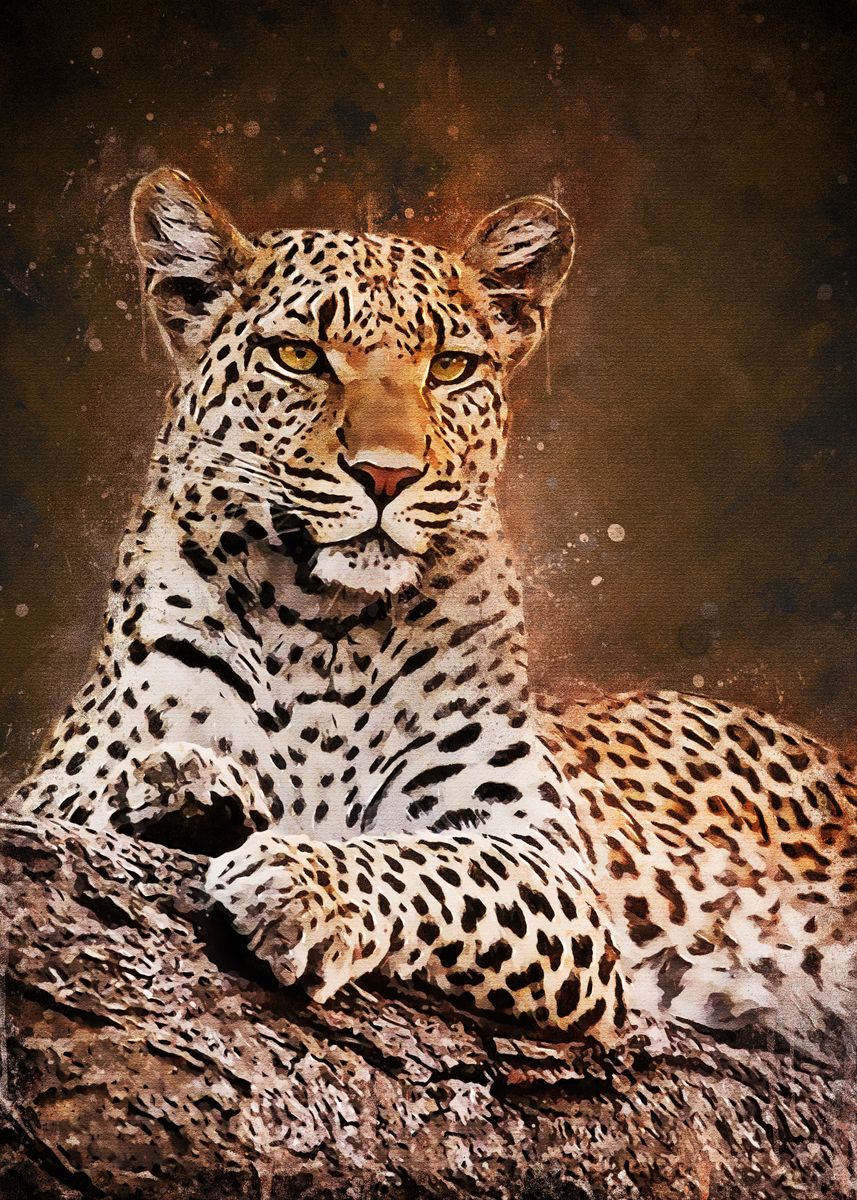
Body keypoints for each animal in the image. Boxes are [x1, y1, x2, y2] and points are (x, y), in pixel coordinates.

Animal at [14, 167, 857, 1056]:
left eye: (450, 367)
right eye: (298, 356)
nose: (386, 475)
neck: (325, 628)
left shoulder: (546, 861)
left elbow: (429, 865)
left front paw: (299, 882)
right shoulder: (54, 784)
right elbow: (105, 789)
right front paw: (191, 791)